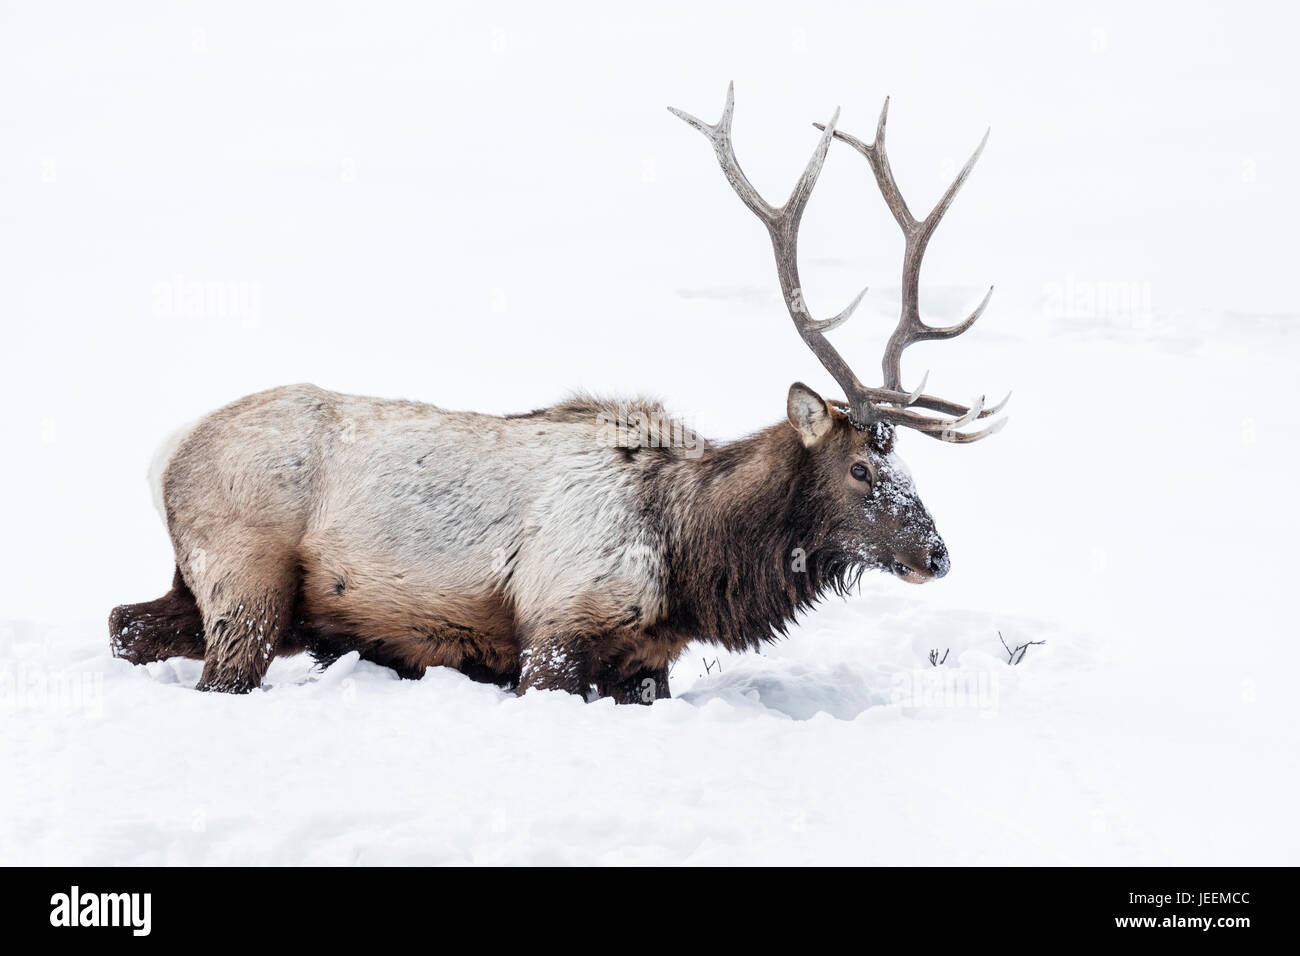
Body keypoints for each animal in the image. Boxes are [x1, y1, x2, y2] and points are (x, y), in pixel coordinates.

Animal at [108, 85, 1008, 703]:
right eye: (862, 467)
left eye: (905, 464)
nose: (938, 554)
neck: (690, 560)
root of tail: (166, 455)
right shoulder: (555, 631)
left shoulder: (648, 665)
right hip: (244, 578)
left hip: (212, 588)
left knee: (124, 622)